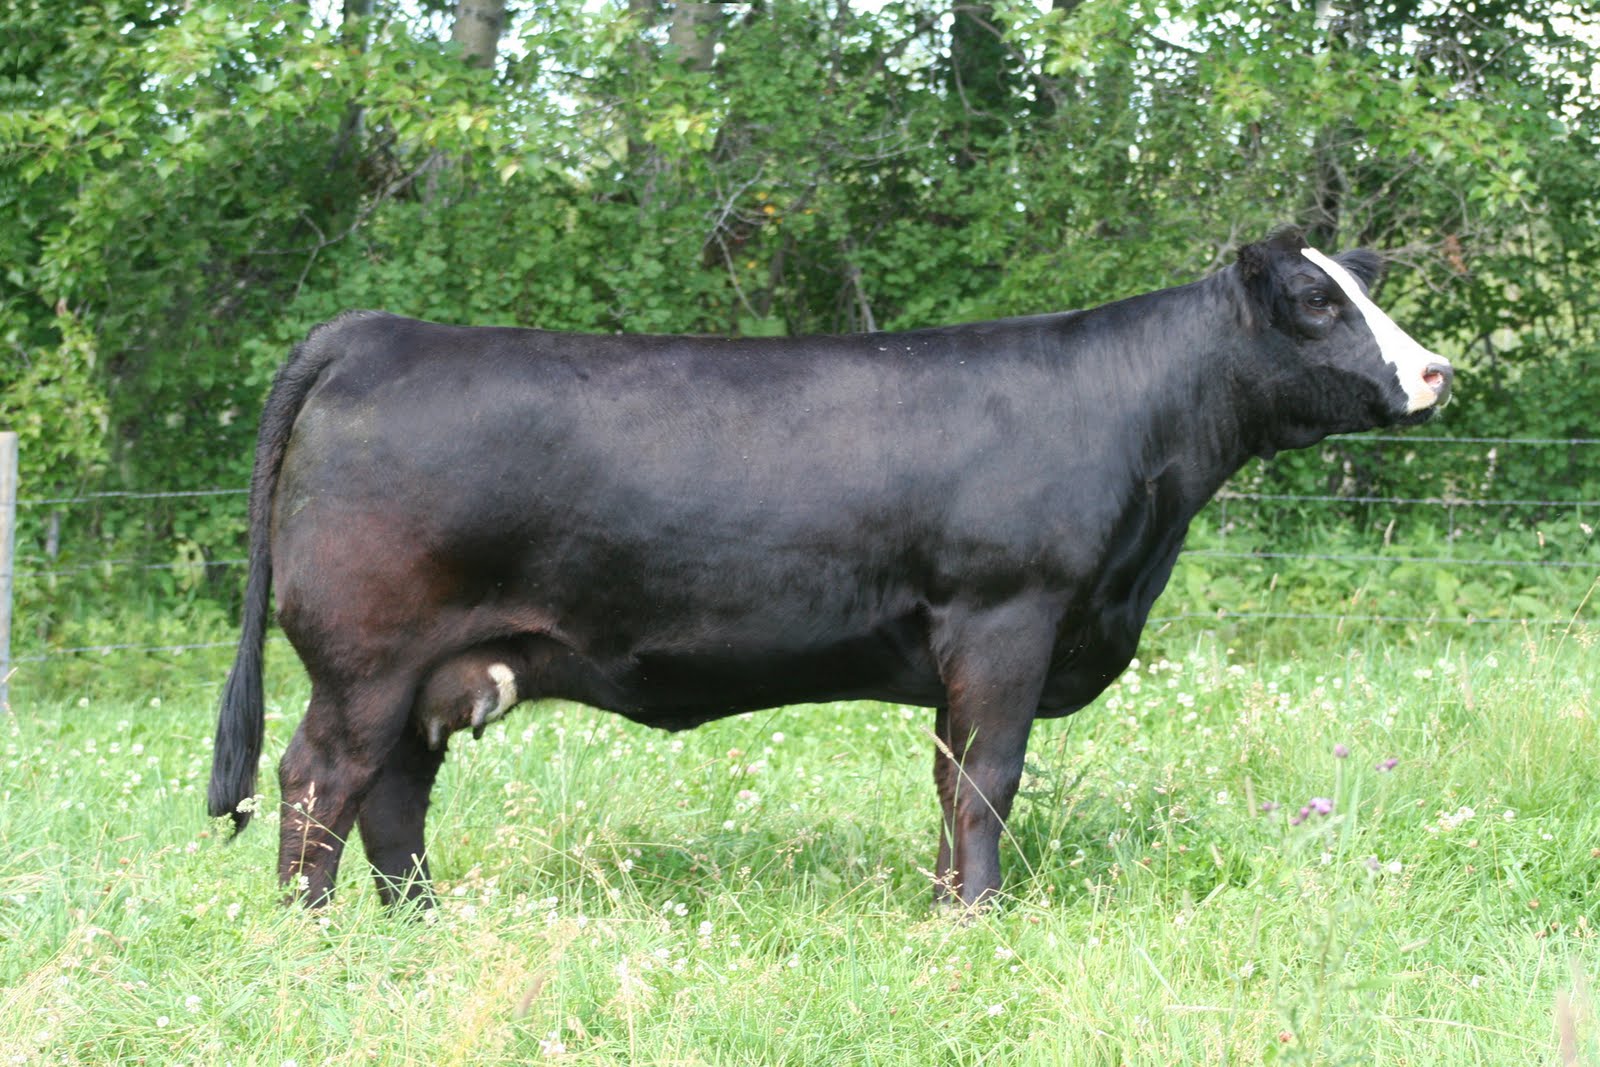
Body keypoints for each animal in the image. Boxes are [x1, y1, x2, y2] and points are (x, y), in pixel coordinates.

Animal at [209, 229, 1453, 909]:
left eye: (1361, 287)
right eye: (1317, 302)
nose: (1436, 370)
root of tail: (379, 328)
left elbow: (951, 780)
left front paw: (949, 901)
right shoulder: (1006, 616)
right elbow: (984, 779)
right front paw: (977, 917)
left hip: (433, 666)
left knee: (394, 795)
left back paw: (420, 923)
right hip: (366, 654)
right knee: (320, 779)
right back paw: (313, 935)